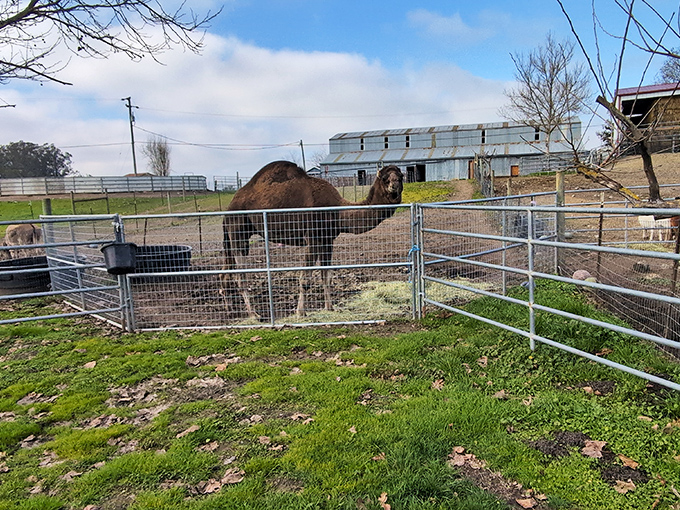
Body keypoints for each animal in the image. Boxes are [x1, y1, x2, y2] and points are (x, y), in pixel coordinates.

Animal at [222, 160, 404, 318]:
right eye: (385, 178)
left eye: (400, 176)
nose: (394, 185)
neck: (337, 211)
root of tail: (229, 207)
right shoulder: (313, 237)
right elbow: (305, 279)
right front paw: (300, 312)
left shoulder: (327, 240)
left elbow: (326, 276)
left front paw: (330, 308)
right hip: (238, 229)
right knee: (240, 275)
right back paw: (254, 315)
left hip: (235, 235)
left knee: (226, 273)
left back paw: (230, 310)